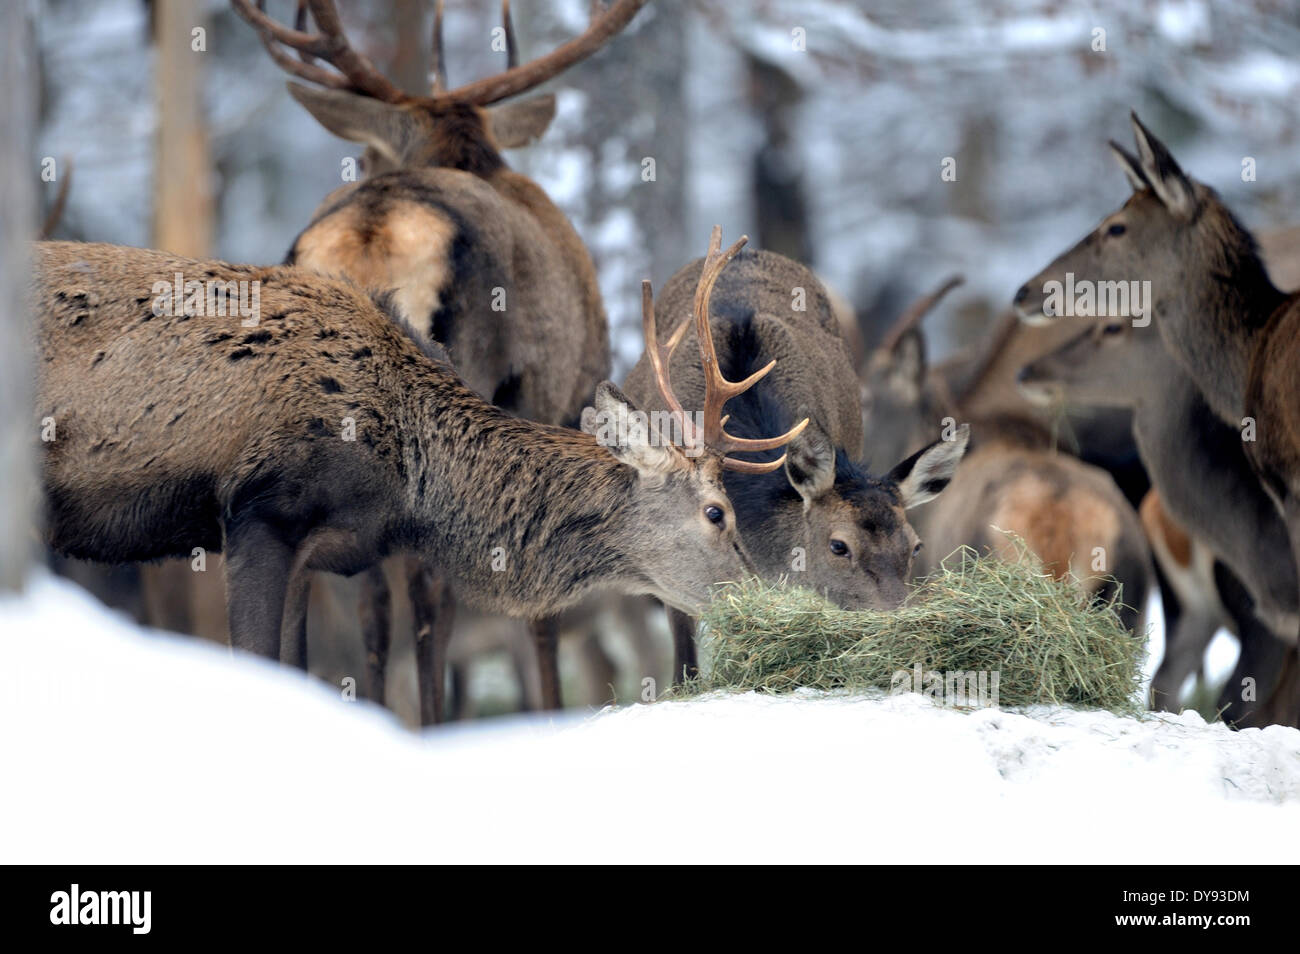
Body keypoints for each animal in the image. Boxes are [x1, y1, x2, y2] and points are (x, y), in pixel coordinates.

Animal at [33, 237, 804, 688]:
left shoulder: (310, 551)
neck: (410, 487)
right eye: (717, 512)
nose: (763, 598)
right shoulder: (260, 509)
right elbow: (255, 659)